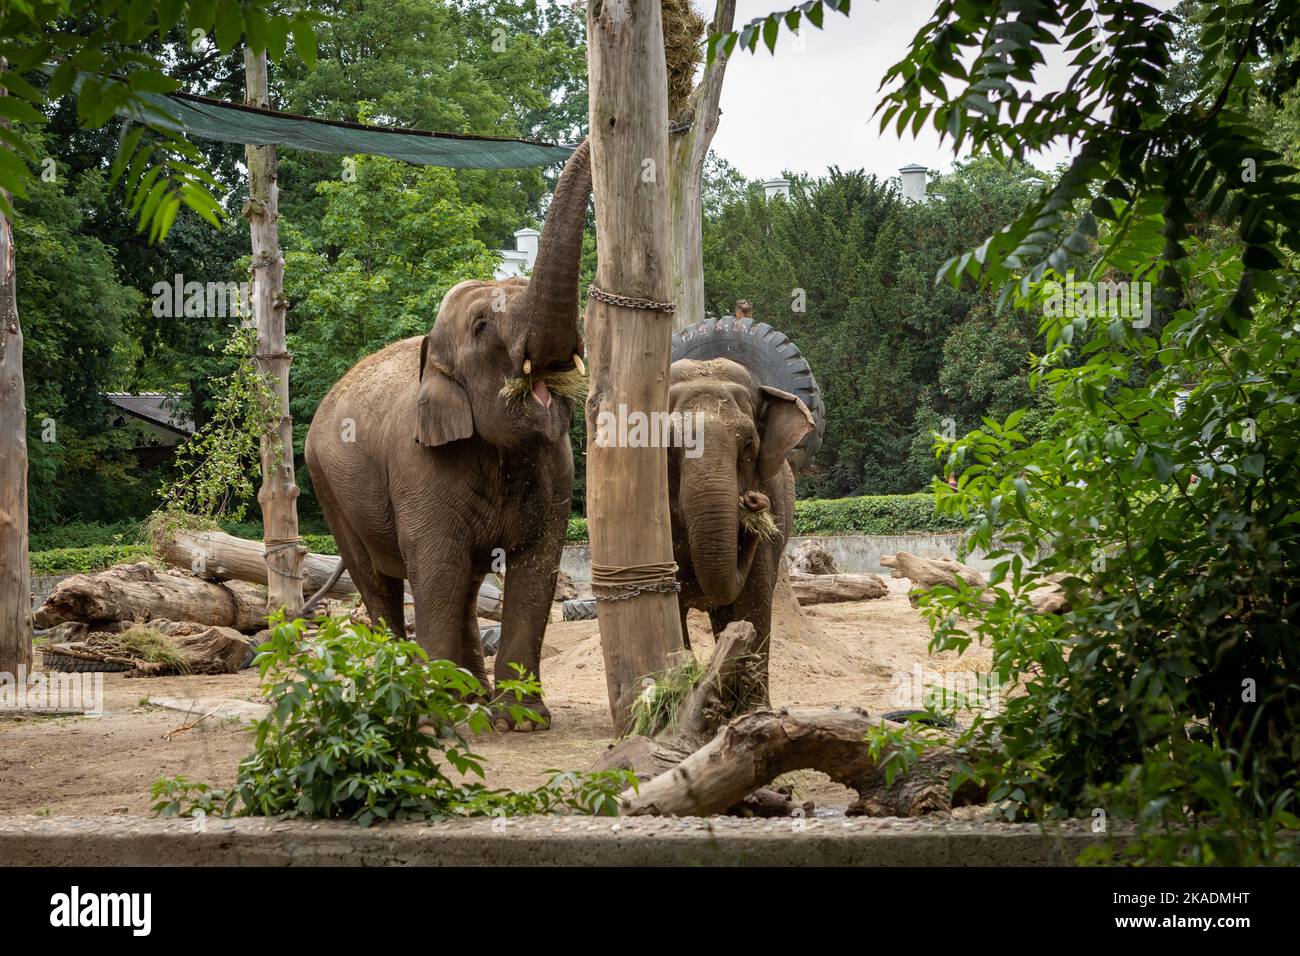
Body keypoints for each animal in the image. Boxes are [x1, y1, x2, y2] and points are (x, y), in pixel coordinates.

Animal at [303, 140, 592, 731]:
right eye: (482, 326)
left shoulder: (556, 465)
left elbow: (538, 564)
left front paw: (522, 720)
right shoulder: (418, 466)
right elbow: (436, 566)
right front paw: (431, 718)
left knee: (468, 584)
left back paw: (470, 696)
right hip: (327, 487)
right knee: (380, 586)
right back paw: (414, 695)